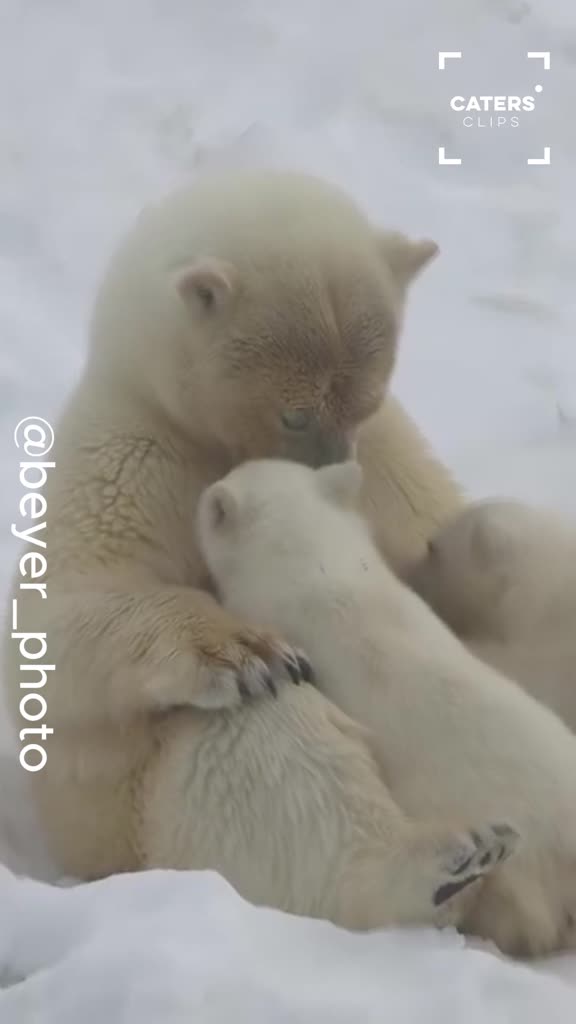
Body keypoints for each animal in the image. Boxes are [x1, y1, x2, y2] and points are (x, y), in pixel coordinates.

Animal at [3, 169, 469, 931]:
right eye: (295, 411)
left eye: (366, 401)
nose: (333, 471)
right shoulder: (137, 447)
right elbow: (57, 618)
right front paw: (243, 651)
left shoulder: (390, 460)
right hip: (147, 824)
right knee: (262, 738)